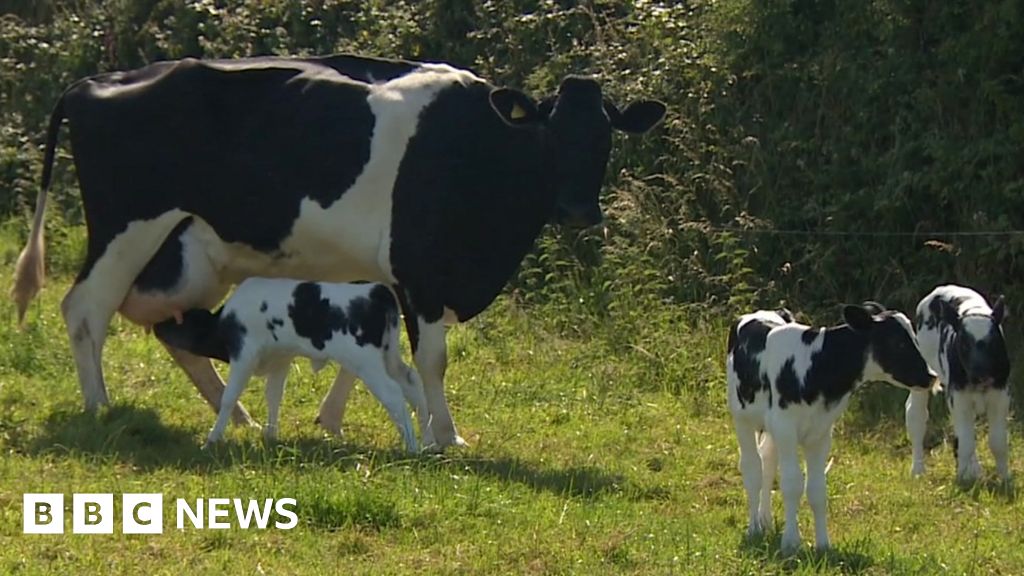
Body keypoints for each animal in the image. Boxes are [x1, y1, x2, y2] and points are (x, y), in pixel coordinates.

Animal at [152, 277, 432, 452]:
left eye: (181, 321)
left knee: (393, 394)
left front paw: (212, 439)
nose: (156, 326)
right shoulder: (280, 359)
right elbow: (273, 395)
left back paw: (411, 446)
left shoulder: (244, 355)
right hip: (390, 355)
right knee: (412, 383)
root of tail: (377, 290)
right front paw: (270, 435)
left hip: (367, 362)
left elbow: (229, 397)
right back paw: (426, 442)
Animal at [727, 303, 937, 553]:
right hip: (742, 418)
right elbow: (792, 483)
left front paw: (823, 545)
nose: (931, 376)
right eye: (897, 343)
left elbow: (817, 489)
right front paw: (791, 542)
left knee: (768, 462)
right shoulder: (786, 428)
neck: (814, 365)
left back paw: (765, 520)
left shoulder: (821, 433)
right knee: (753, 470)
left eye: (914, 336)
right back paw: (754, 529)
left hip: (772, 430)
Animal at [905, 285, 1011, 482]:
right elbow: (966, 442)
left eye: (993, 342)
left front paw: (1005, 478)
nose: (980, 373)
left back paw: (974, 469)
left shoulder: (1000, 394)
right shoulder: (959, 395)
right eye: (964, 343)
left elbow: (998, 441)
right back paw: (917, 470)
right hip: (922, 373)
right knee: (916, 415)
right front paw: (963, 478)